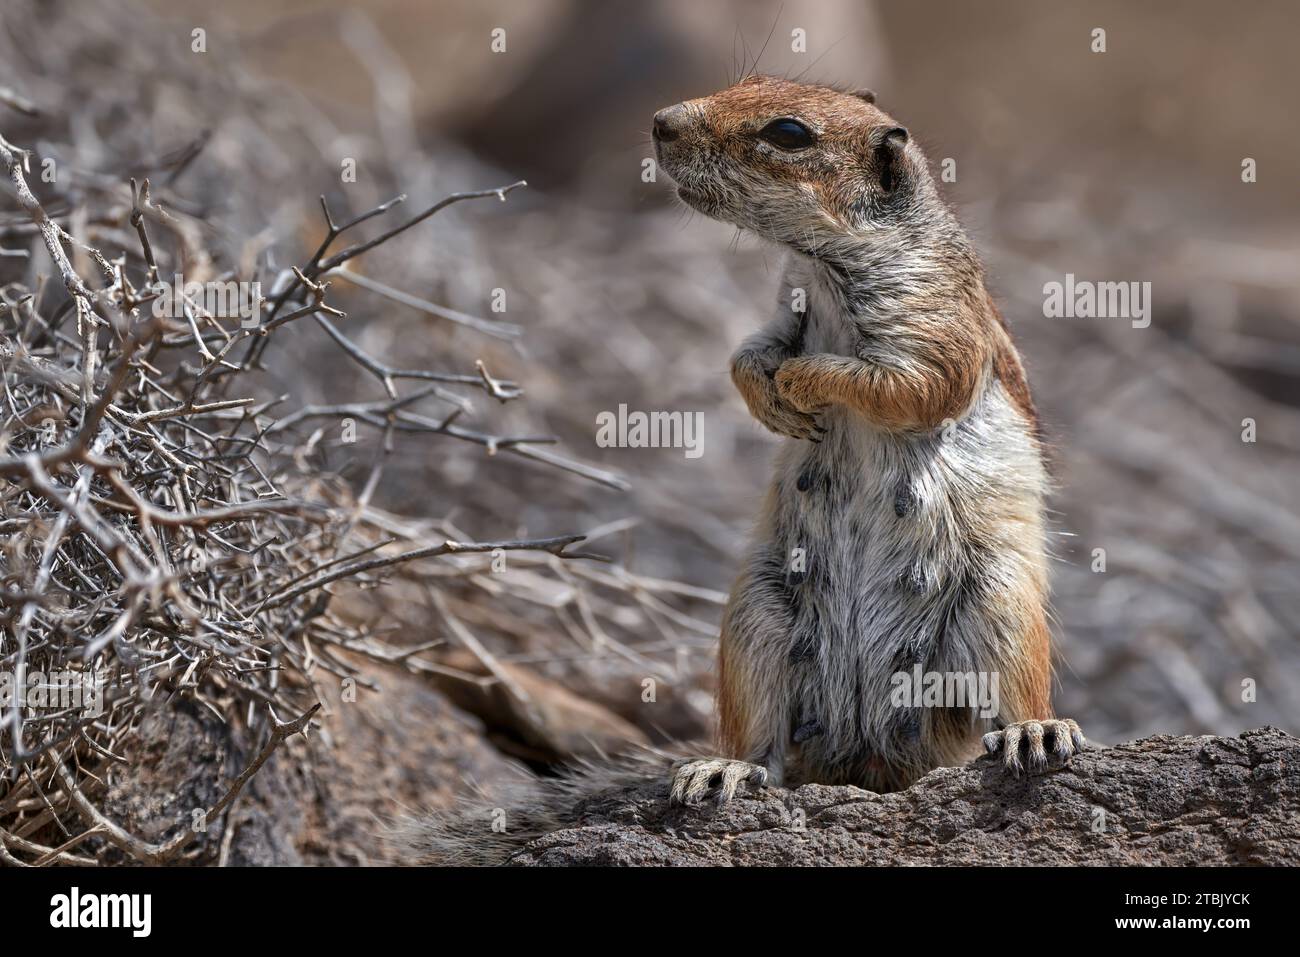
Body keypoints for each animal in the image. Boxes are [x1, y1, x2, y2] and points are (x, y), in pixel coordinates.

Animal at [398, 76, 1083, 864]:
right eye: (749, 82)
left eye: (789, 132)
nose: (661, 122)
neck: (822, 264)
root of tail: (868, 759)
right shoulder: (785, 304)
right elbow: (750, 349)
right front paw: (769, 394)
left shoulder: (935, 322)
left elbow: (903, 383)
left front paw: (803, 383)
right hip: (756, 616)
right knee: (763, 743)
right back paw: (721, 769)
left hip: (998, 602)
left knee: (1008, 696)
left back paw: (1036, 731)